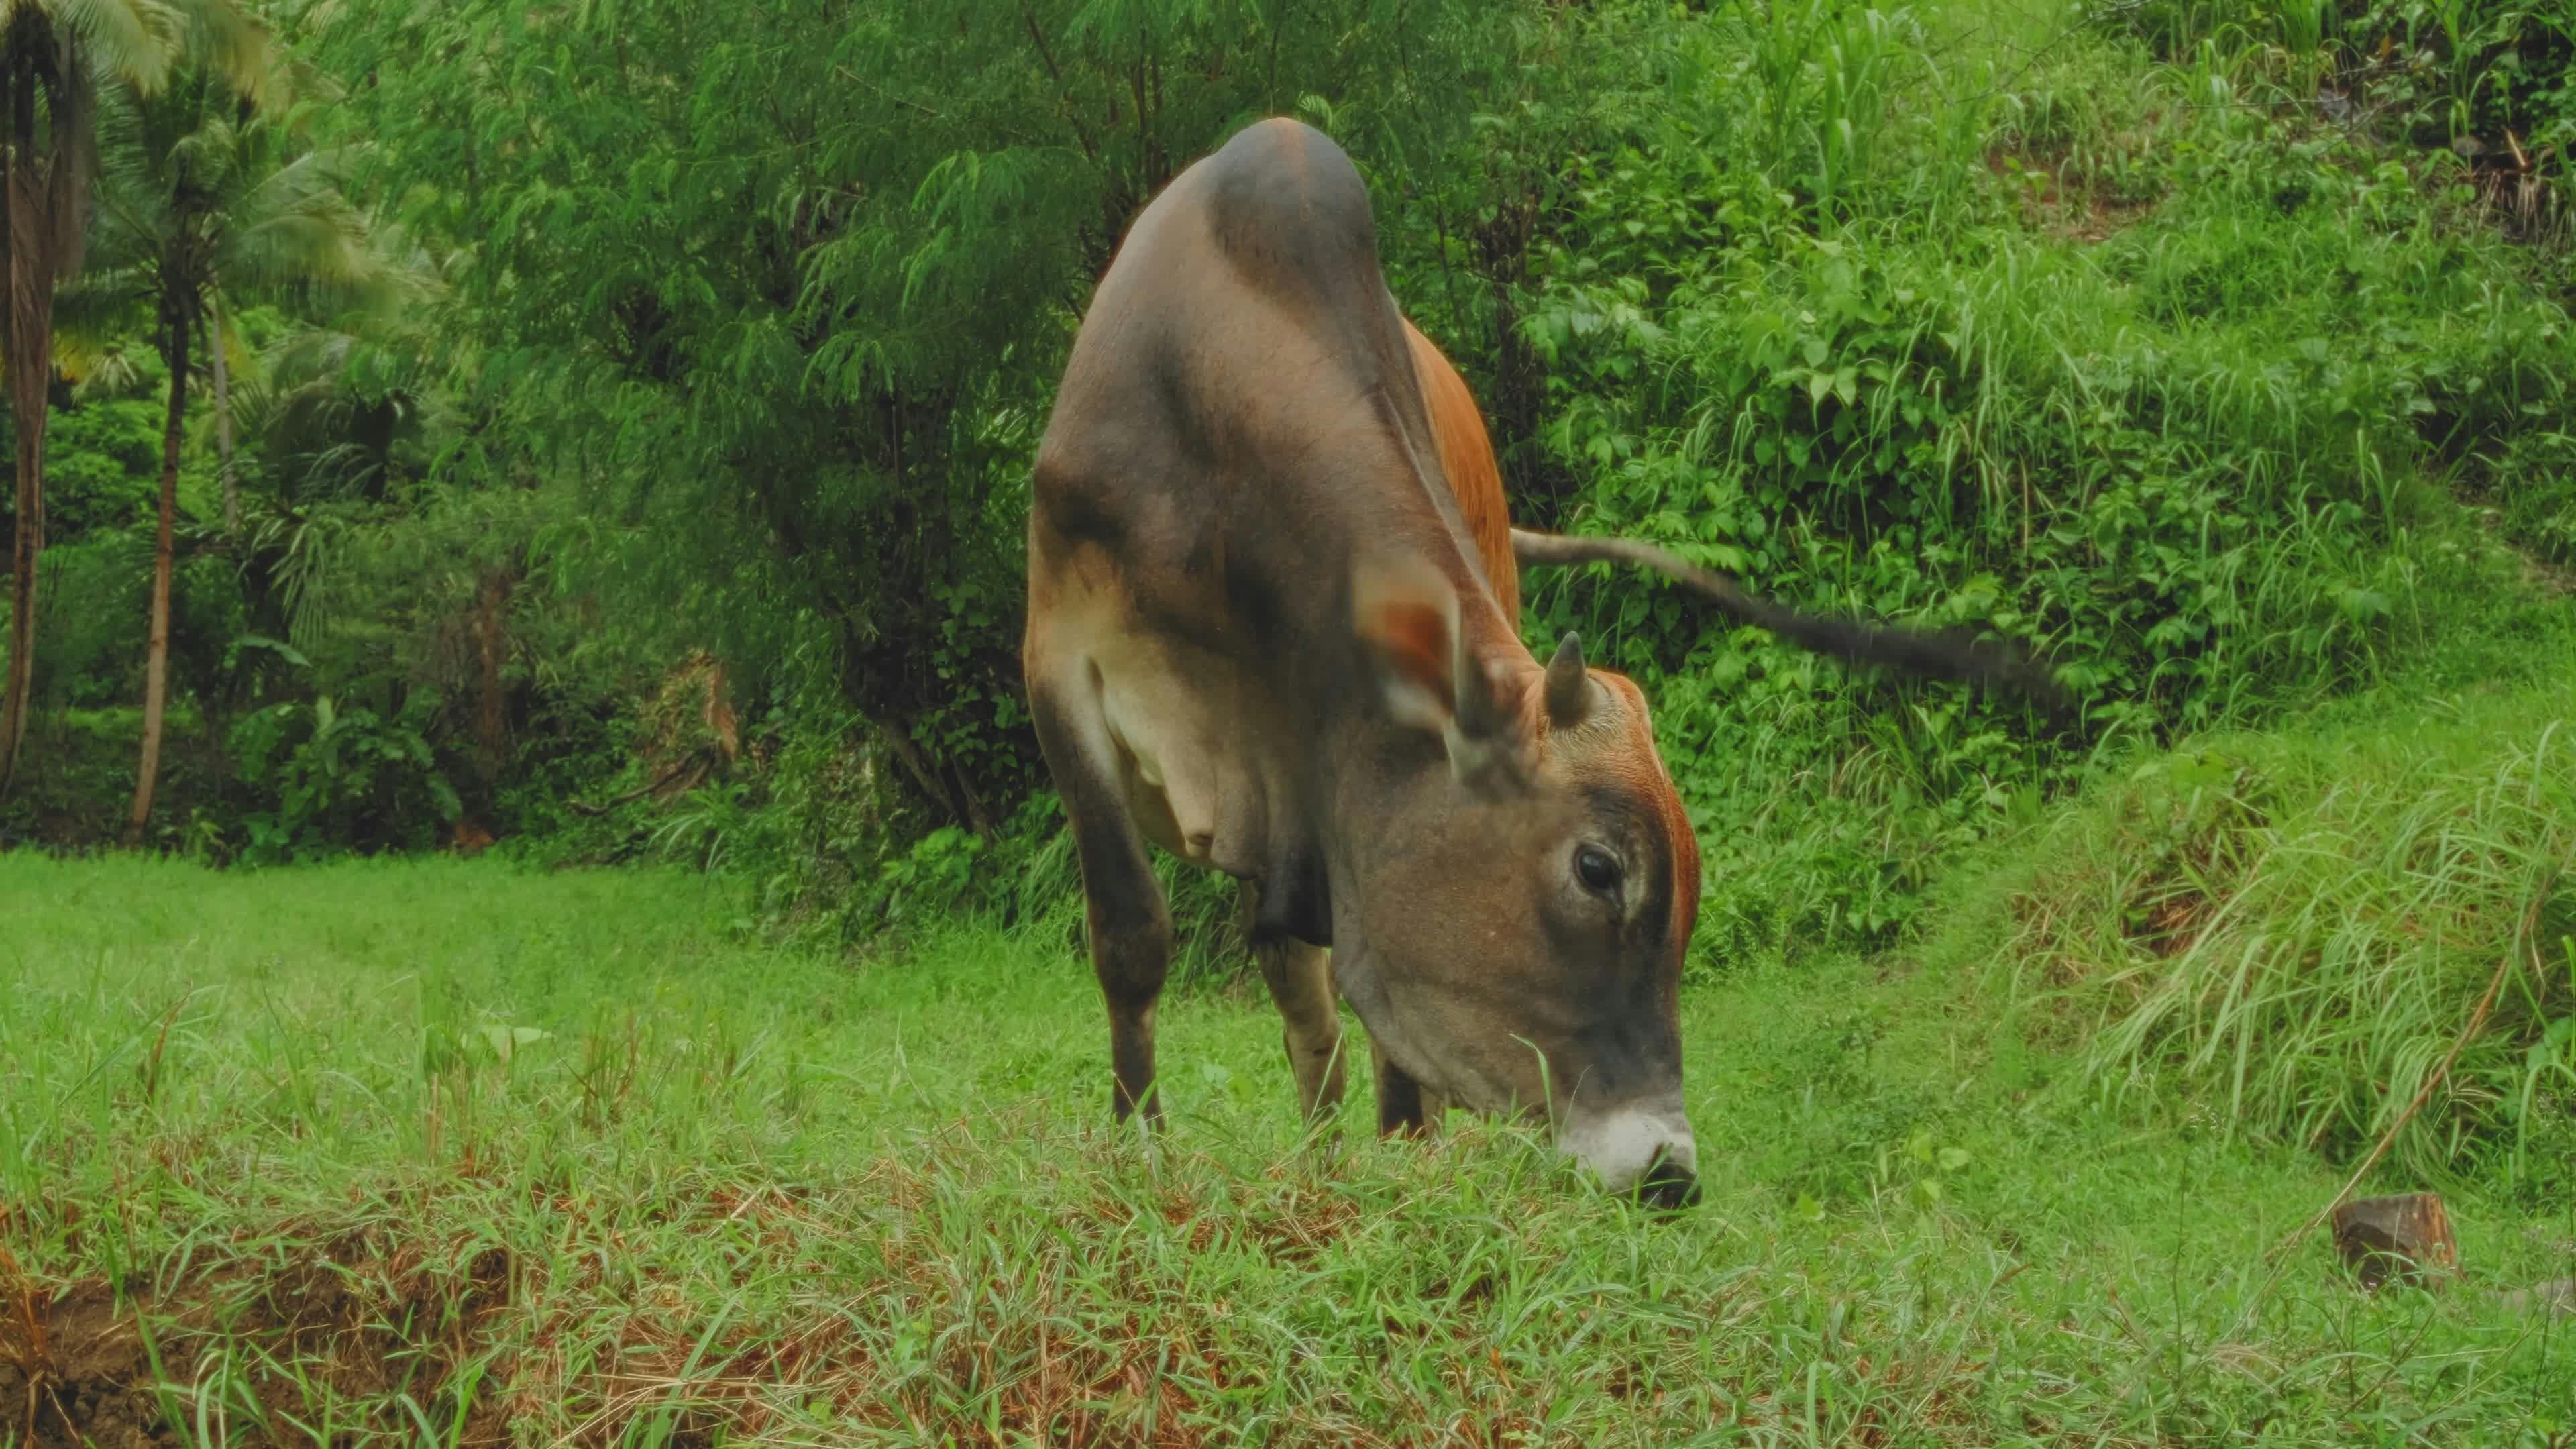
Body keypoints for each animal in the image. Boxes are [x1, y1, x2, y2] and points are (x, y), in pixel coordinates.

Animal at [1022, 117, 2057, 1207]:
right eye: (1598, 868)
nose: (1667, 1171)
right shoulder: (1060, 663)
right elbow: (1133, 935)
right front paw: (1140, 1151)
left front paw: (1399, 1177)